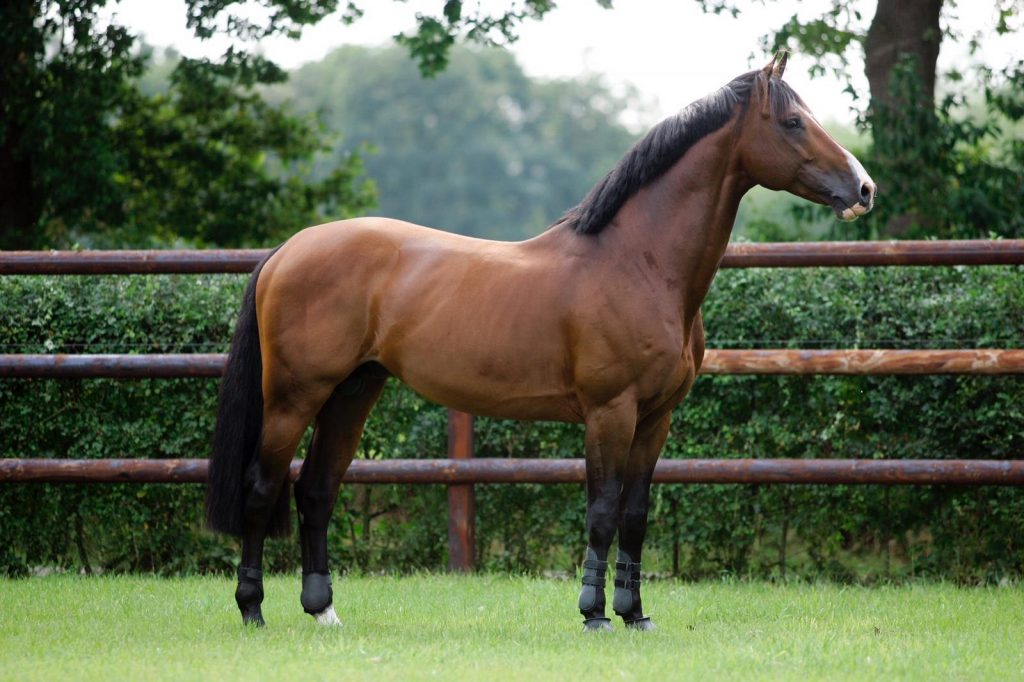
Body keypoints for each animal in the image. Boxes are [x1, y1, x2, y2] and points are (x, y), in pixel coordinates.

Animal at [206, 51, 875, 631]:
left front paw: (635, 615)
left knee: (316, 490)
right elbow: (602, 511)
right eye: (792, 122)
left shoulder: (656, 418)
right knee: (262, 488)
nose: (863, 189)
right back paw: (253, 610)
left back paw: (322, 611)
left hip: (353, 392)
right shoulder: (610, 412)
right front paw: (594, 614)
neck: (637, 262)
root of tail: (287, 250)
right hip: (294, 397)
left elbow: (635, 515)